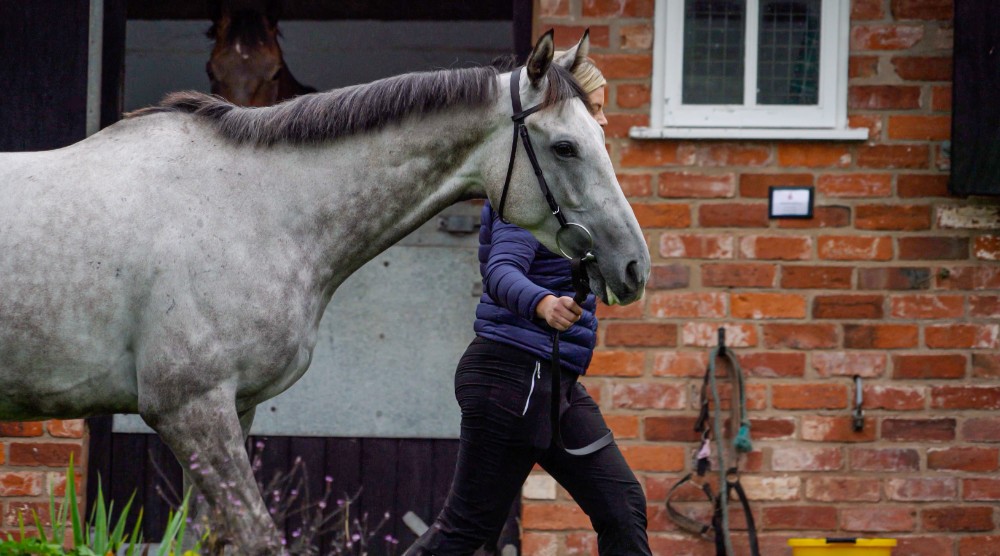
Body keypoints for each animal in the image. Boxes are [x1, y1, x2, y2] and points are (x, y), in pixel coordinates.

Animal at [0, 31, 648, 554]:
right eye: (564, 146)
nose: (634, 266)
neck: (250, 208)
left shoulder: (232, 409)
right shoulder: (190, 410)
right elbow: (258, 538)